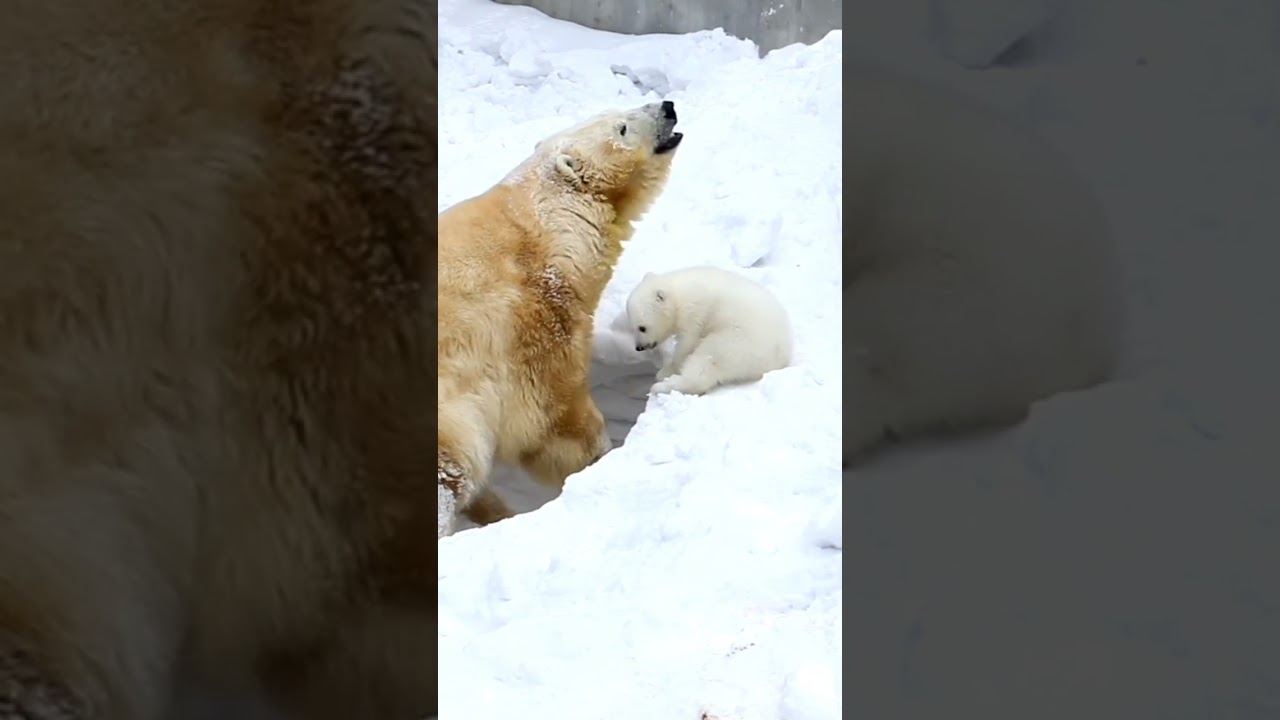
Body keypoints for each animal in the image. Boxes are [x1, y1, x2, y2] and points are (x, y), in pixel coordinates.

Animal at [437, 101, 684, 537]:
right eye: (622, 128)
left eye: (621, 108)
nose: (667, 106)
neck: (546, 227)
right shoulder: (534, 316)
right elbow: (554, 419)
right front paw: (600, 459)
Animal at [626, 266, 794, 396]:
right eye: (632, 326)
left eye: (642, 327)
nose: (639, 347)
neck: (680, 292)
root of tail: (780, 358)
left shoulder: (696, 312)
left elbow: (687, 343)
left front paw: (666, 370)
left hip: (738, 341)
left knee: (707, 361)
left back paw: (663, 385)